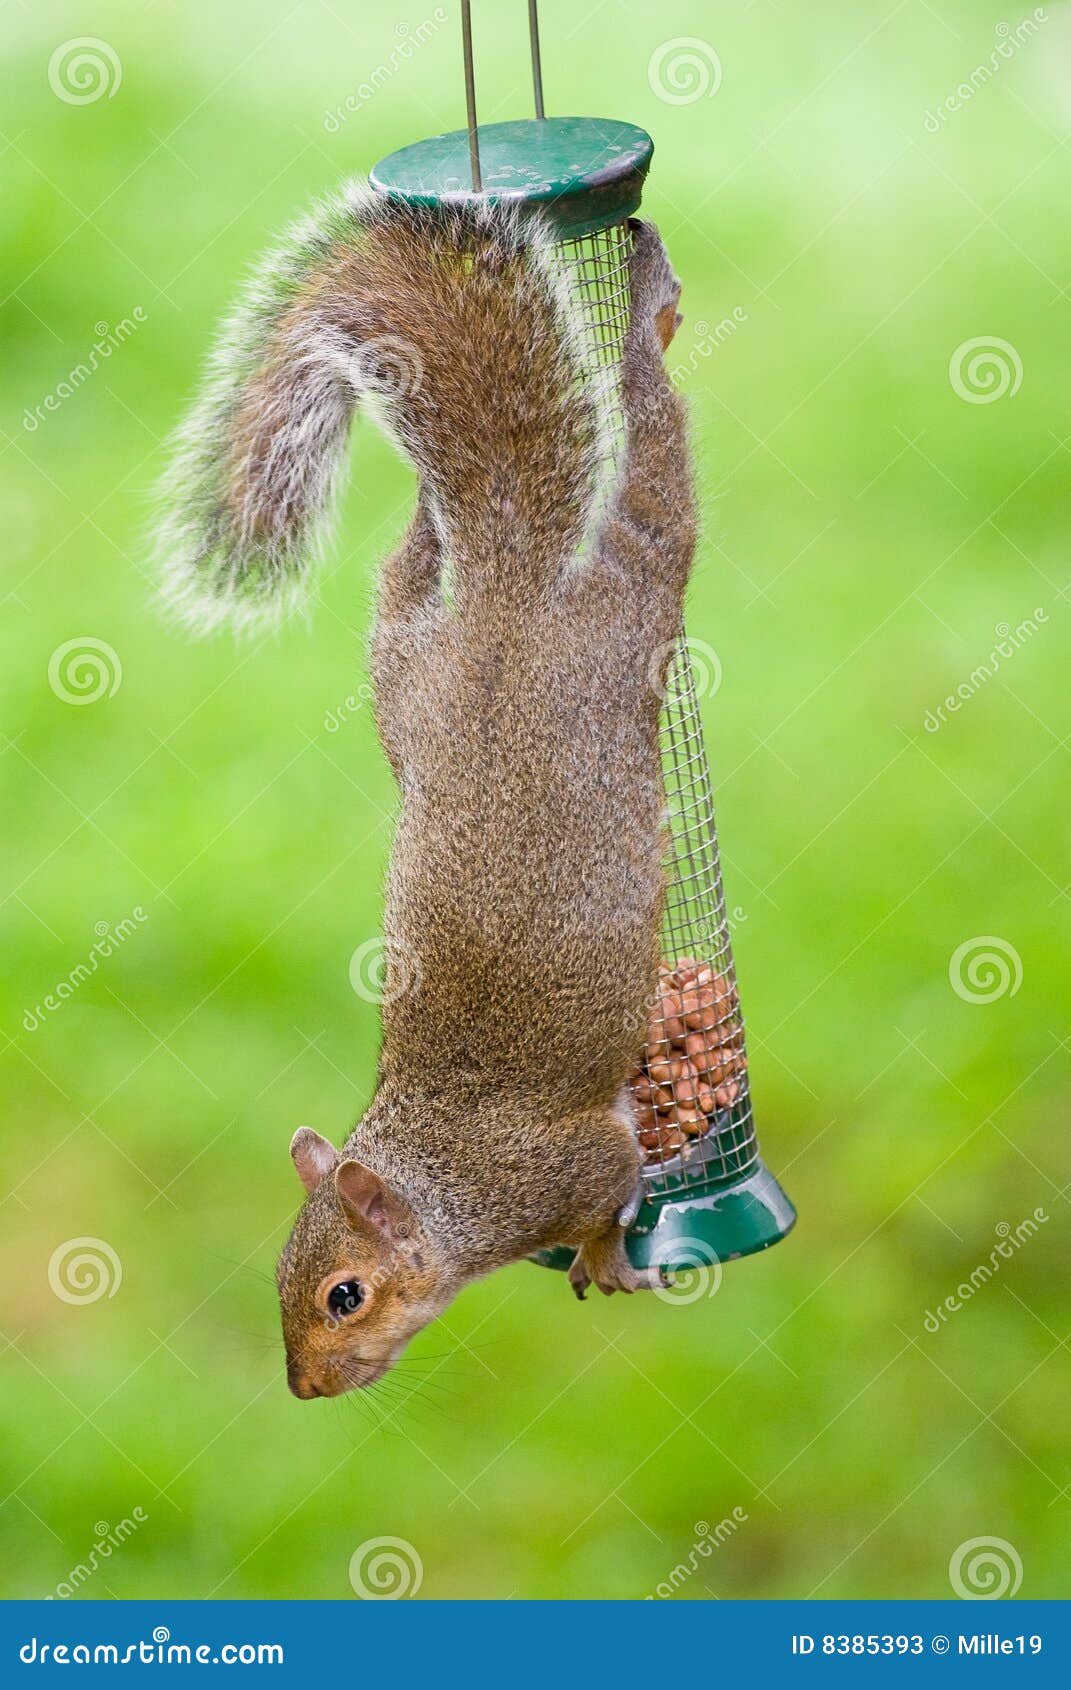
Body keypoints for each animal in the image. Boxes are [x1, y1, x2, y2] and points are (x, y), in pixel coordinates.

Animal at [158, 184, 696, 1396]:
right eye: (279, 1278)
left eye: (344, 1295)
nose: (306, 1387)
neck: (445, 1184)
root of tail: (510, 588)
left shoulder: (579, 1162)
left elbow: (607, 1193)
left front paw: (604, 1256)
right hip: (406, 677)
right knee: (406, 579)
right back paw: (420, 511)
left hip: (630, 606)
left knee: (657, 470)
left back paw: (647, 306)